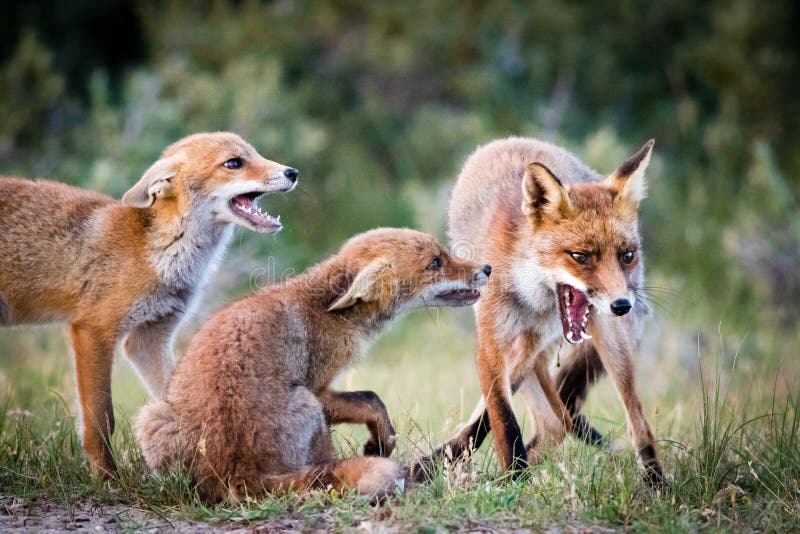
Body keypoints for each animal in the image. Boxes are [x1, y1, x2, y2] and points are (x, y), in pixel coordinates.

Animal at [0, 132, 298, 475]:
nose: (293, 172)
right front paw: (108, 478)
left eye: (256, 154)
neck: (157, 252)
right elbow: (101, 420)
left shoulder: (148, 338)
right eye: (234, 163)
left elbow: (183, 404)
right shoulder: (94, 330)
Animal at [135, 228, 491, 503]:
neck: (325, 309)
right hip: (308, 405)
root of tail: (237, 471)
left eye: (444, 253)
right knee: (323, 467)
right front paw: (381, 442)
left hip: (150, 417)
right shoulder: (320, 388)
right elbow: (371, 400)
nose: (487, 268)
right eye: (436, 263)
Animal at [411, 137, 664, 486]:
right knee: (554, 421)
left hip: (611, 346)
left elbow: (493, 417)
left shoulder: (532, 341)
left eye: (626, 255)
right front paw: (512, 479)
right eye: (580, 256)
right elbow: (502, 418)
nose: (622, 305)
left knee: (627, 417)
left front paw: (511, 479)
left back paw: (658, 483)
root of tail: (512, 139)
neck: (531, 296)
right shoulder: (492, 342)